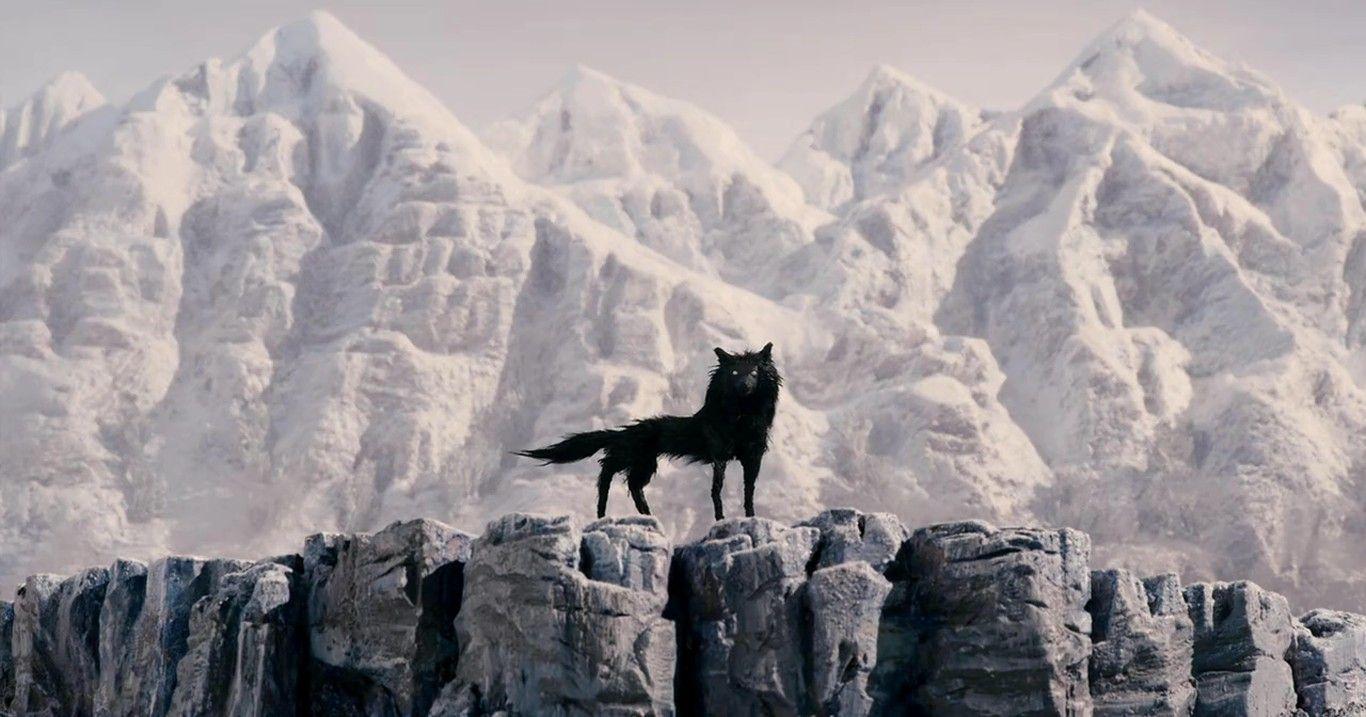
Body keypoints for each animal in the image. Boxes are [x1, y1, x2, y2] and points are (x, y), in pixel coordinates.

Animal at [515, 343, 781, 520]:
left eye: (754, 372)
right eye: (734, 373)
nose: (744, 386)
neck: (740, 420)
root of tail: (620, 432)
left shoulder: (753, 455)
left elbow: (749, 490)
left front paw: (750, 516)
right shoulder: (719, 453)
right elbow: (717, 488)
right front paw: (720, 518)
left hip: (644, 462)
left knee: (633, 484)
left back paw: (647, 515)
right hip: (632, 456)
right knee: (607, 469)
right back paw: (603, 512)